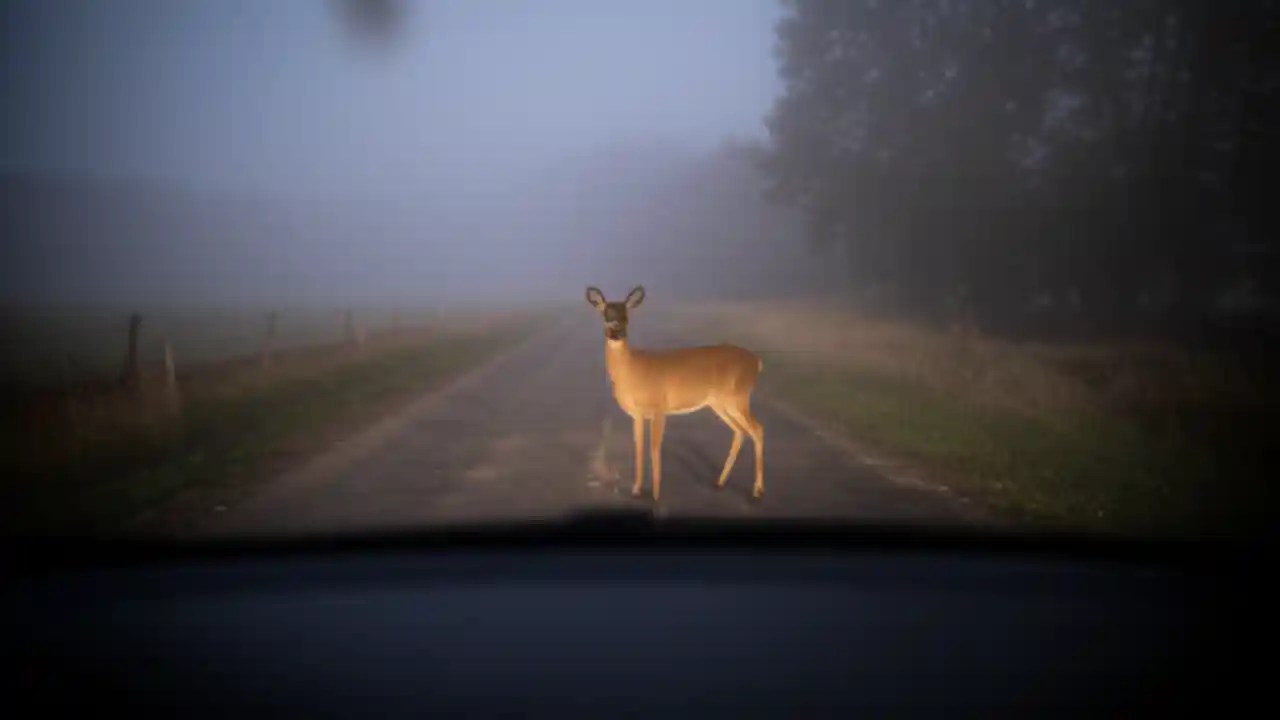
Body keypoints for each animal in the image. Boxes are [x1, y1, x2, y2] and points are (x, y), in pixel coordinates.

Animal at [586, 285, 765, 501]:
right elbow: (639, 447)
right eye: (605, 313)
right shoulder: (637, 414)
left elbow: (654, 448)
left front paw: (655, 495)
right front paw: (636, 489)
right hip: (721, 404)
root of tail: (756, 361)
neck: (631, 370)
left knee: (758, 429)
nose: (615, 332)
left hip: (738, 398)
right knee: (740, 432)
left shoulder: (659, 407)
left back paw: (757, 490)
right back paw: (720, 482)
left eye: (626, 315)